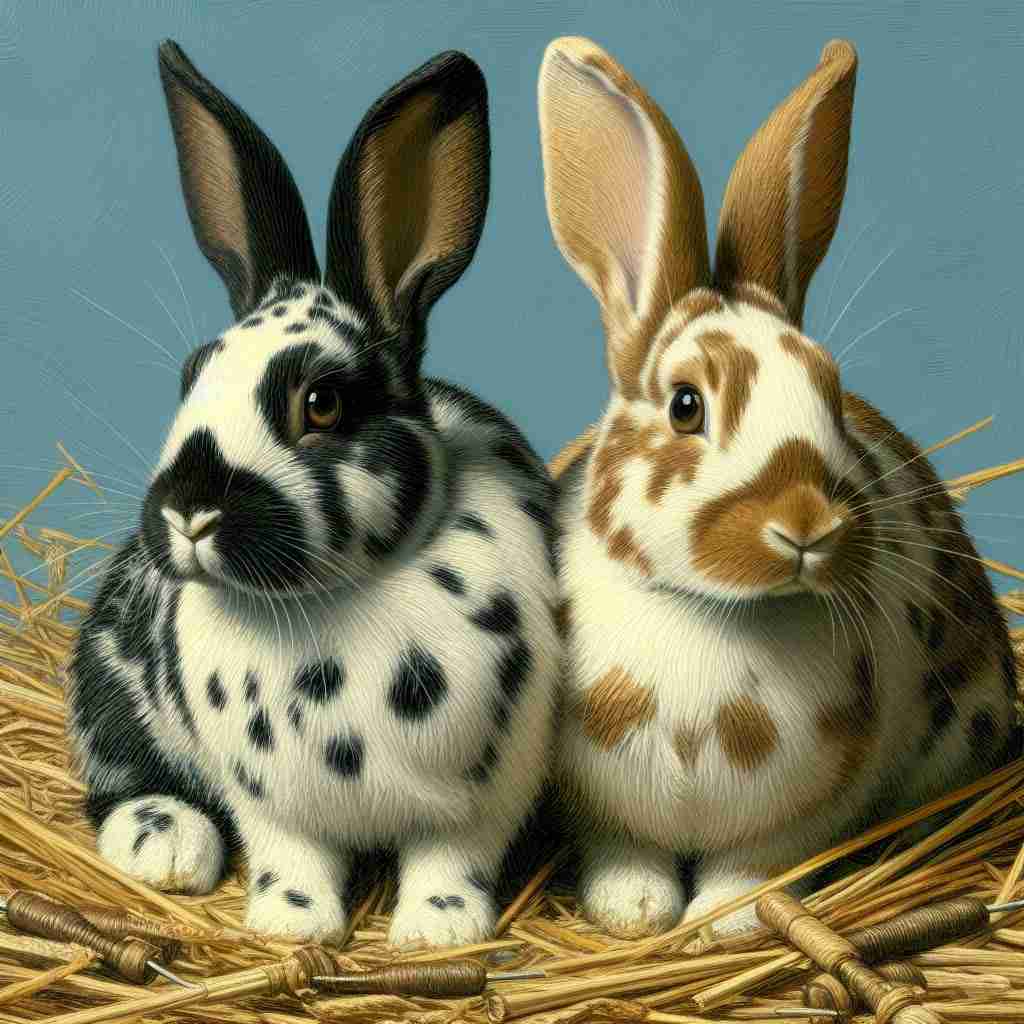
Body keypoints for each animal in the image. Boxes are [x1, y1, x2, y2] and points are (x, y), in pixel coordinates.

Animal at [65, 40, 560, 948]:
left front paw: (439, 931)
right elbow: (291, 856)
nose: (188, 511)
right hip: (109, 684)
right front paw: (292, 925)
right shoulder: (269, 802)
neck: (333, 604)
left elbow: (451, 860)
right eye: (191, 375)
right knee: (117, 774)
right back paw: (164, 842)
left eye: (322, 404)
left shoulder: (487, 791)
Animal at [538, 36, 1020, 938]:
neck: (708, 618)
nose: (808, 524)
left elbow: (757, 865)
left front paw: (721, 920)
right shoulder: (603, 810)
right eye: (686, 404)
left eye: (831, 392)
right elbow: (625, 853)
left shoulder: (808, 816)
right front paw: (635, 911)